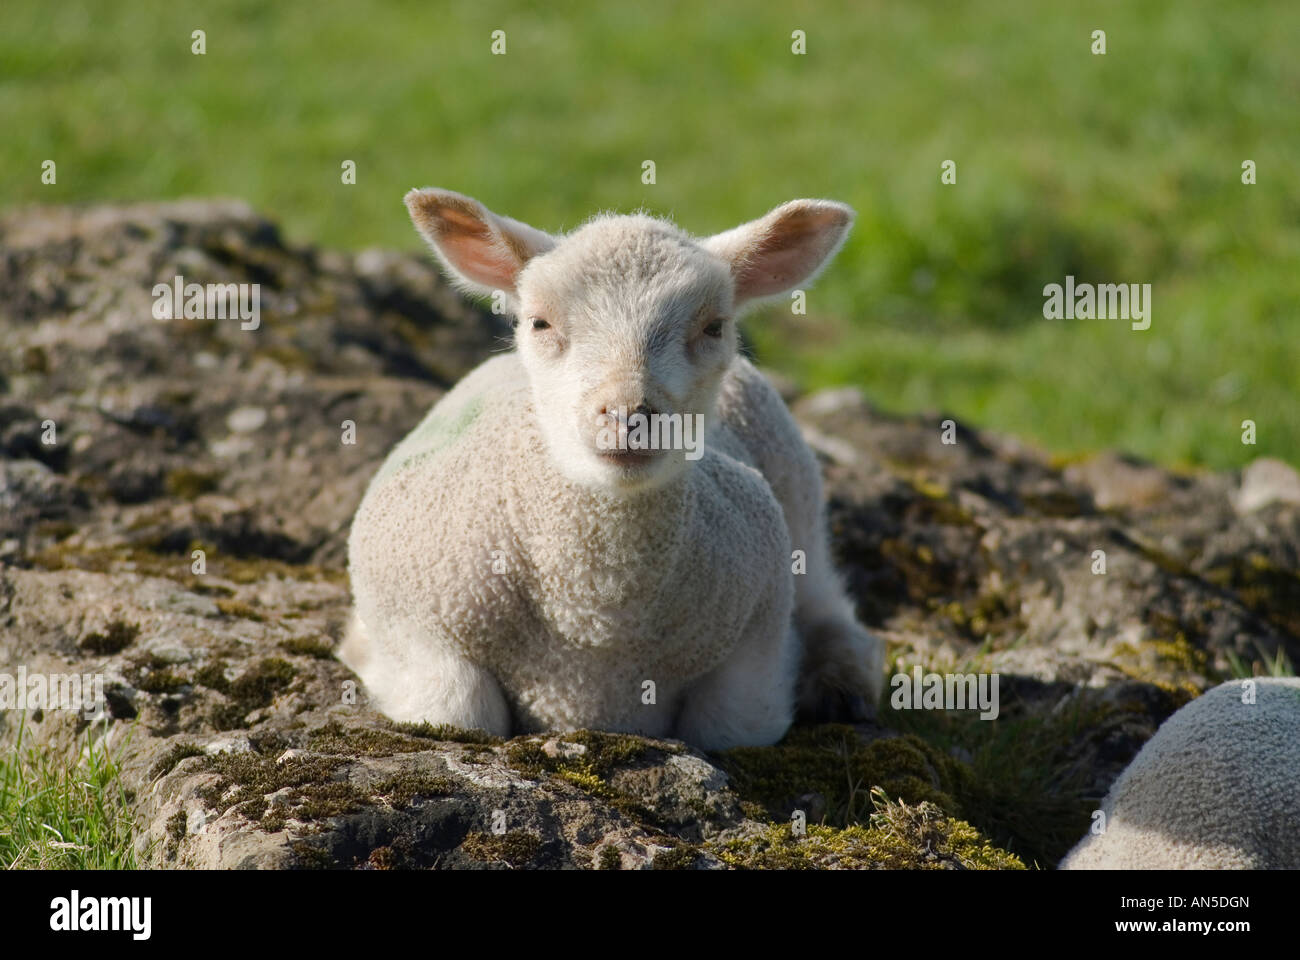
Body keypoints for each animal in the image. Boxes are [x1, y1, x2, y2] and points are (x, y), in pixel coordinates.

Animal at [340, 187, 883, 750]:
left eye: (714, 327)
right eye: (540, 323)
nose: (629, 415)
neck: (597, 620)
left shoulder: (755, 649)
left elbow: (728, 725)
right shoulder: (410, 620)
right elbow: (459, 709)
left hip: (800, 506)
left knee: (831, 606)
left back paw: (842, 683)